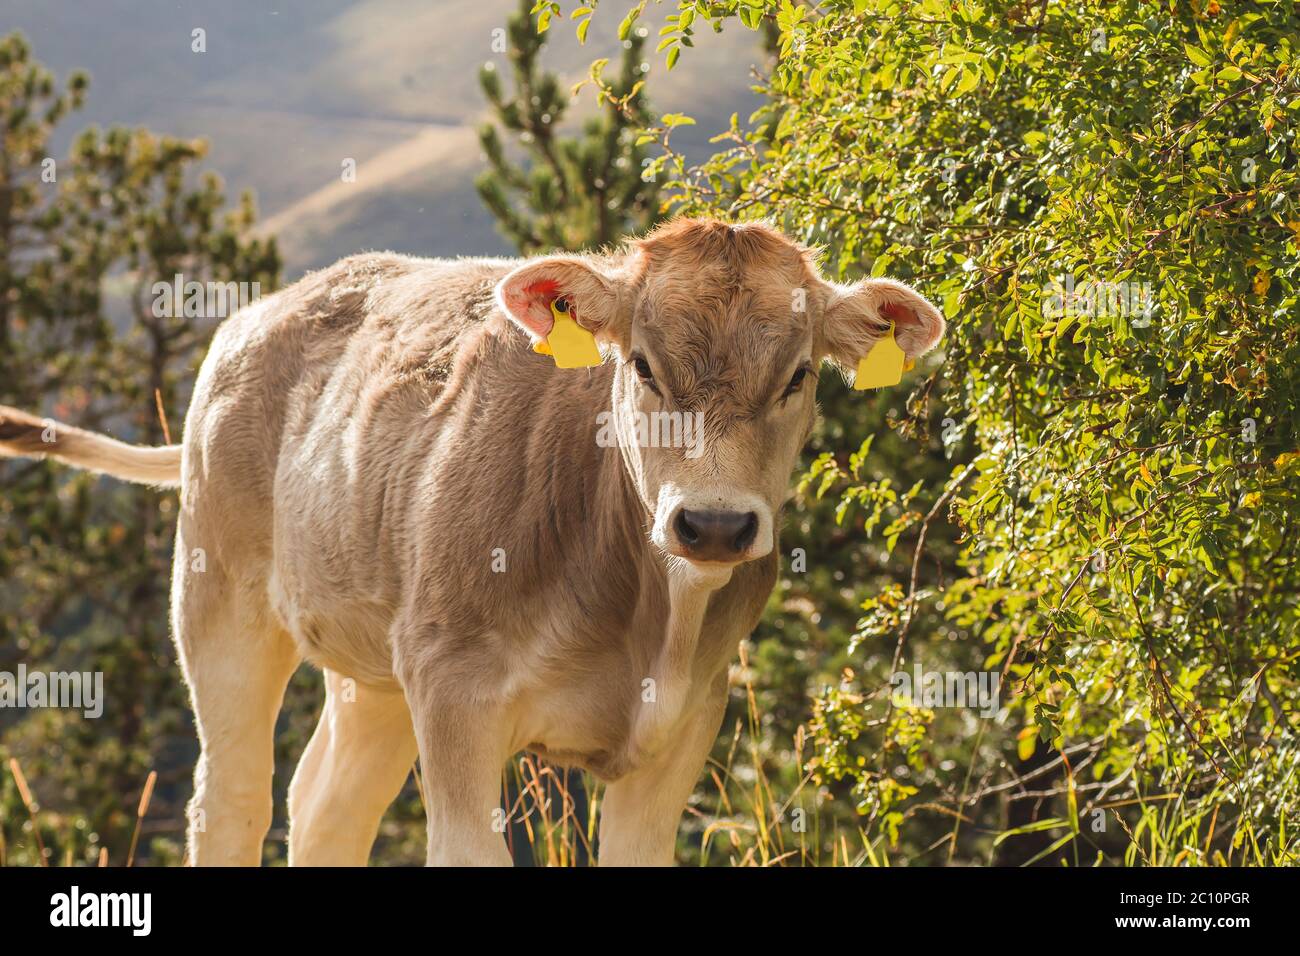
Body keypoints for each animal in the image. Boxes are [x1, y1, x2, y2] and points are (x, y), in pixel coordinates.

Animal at [0, 218, 944, 866]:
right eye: (641, 365)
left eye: (798, 376)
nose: (713, 522)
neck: (646, 616)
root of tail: (265, 311)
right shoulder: (458, 694)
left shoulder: (685, 724)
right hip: (222, 606)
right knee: (231, 801)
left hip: (380, 664)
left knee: (326, 806)